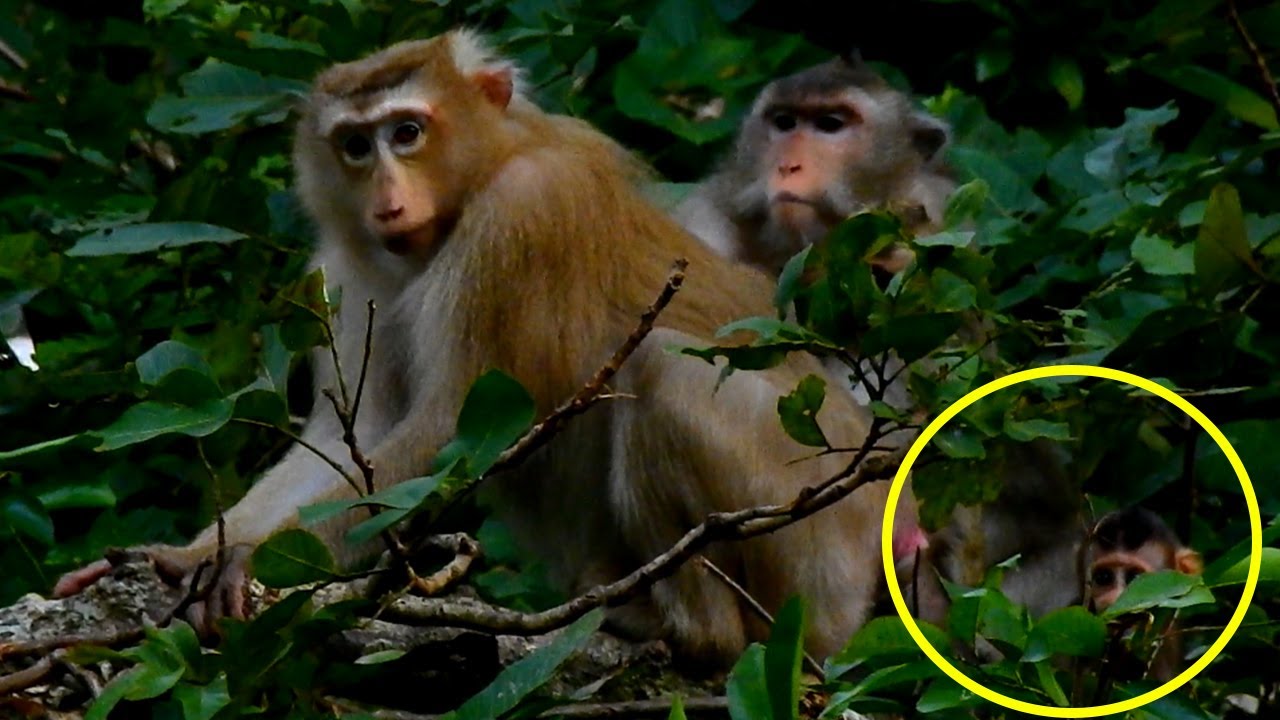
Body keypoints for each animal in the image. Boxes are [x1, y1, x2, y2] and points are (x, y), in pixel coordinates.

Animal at [55, 29, 906, 668]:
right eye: (355, 145)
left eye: (407, 132)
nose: (386, 199)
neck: (478, 179)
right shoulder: (345, 269)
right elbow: (348, 437)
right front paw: (184, 556)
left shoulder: (520, 217)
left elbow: (449, 432)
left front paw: (235, 563)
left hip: (809, 554)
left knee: (664, 366)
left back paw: (693, 631)